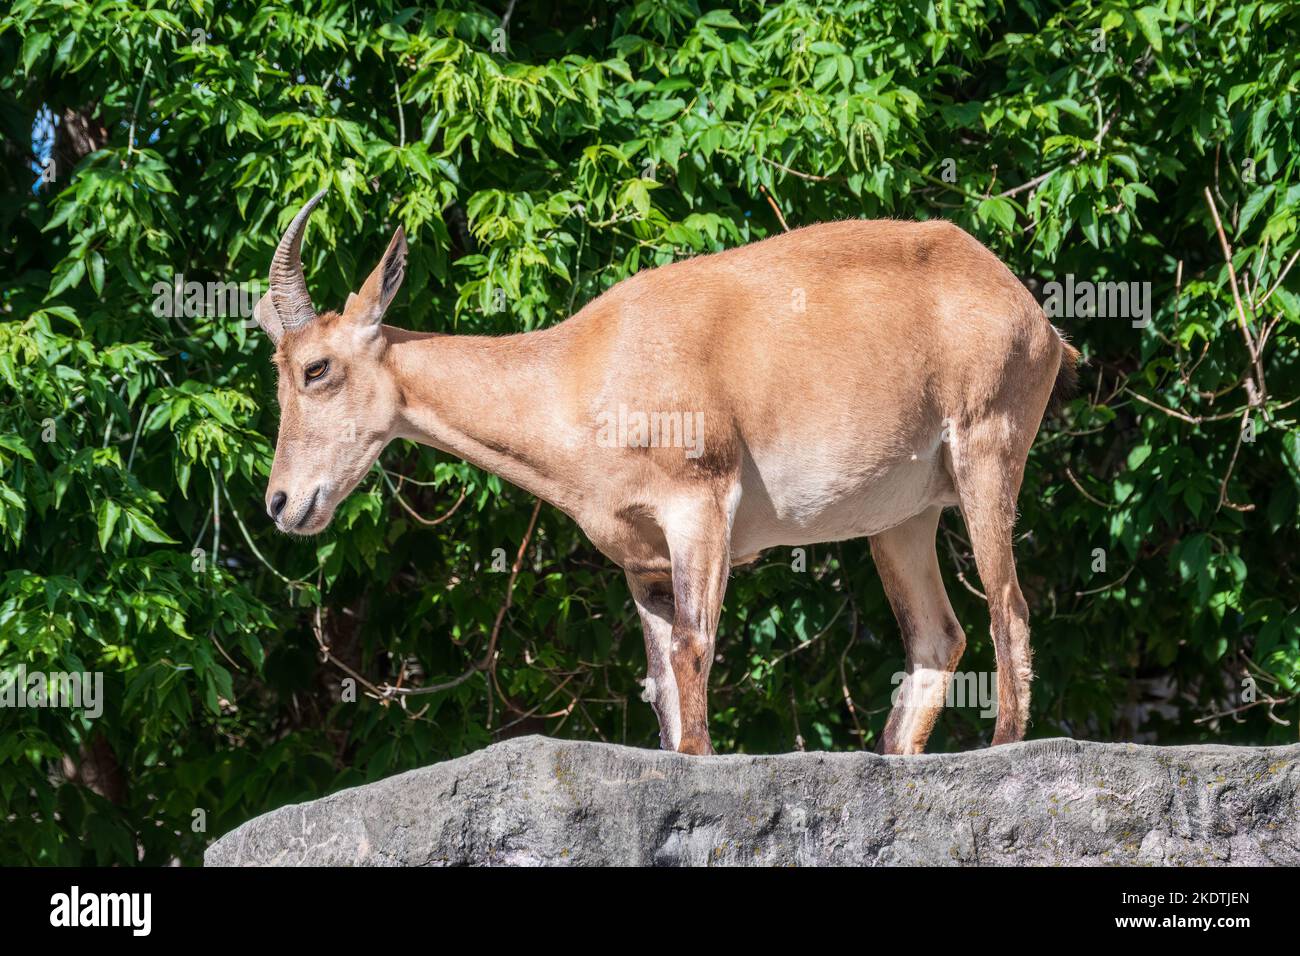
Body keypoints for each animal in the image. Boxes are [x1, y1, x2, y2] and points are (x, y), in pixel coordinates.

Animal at [254, 190, 1078, 755]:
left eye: (316, 368)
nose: (283, 503)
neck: (581, 368)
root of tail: (1033, 316)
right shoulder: (642, 562)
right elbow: (662, 685)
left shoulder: (701, 505)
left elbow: (693, 648)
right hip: (904, 518)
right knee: (938, 636)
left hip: (986, 450)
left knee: (1008, 606)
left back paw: (1003, 747)